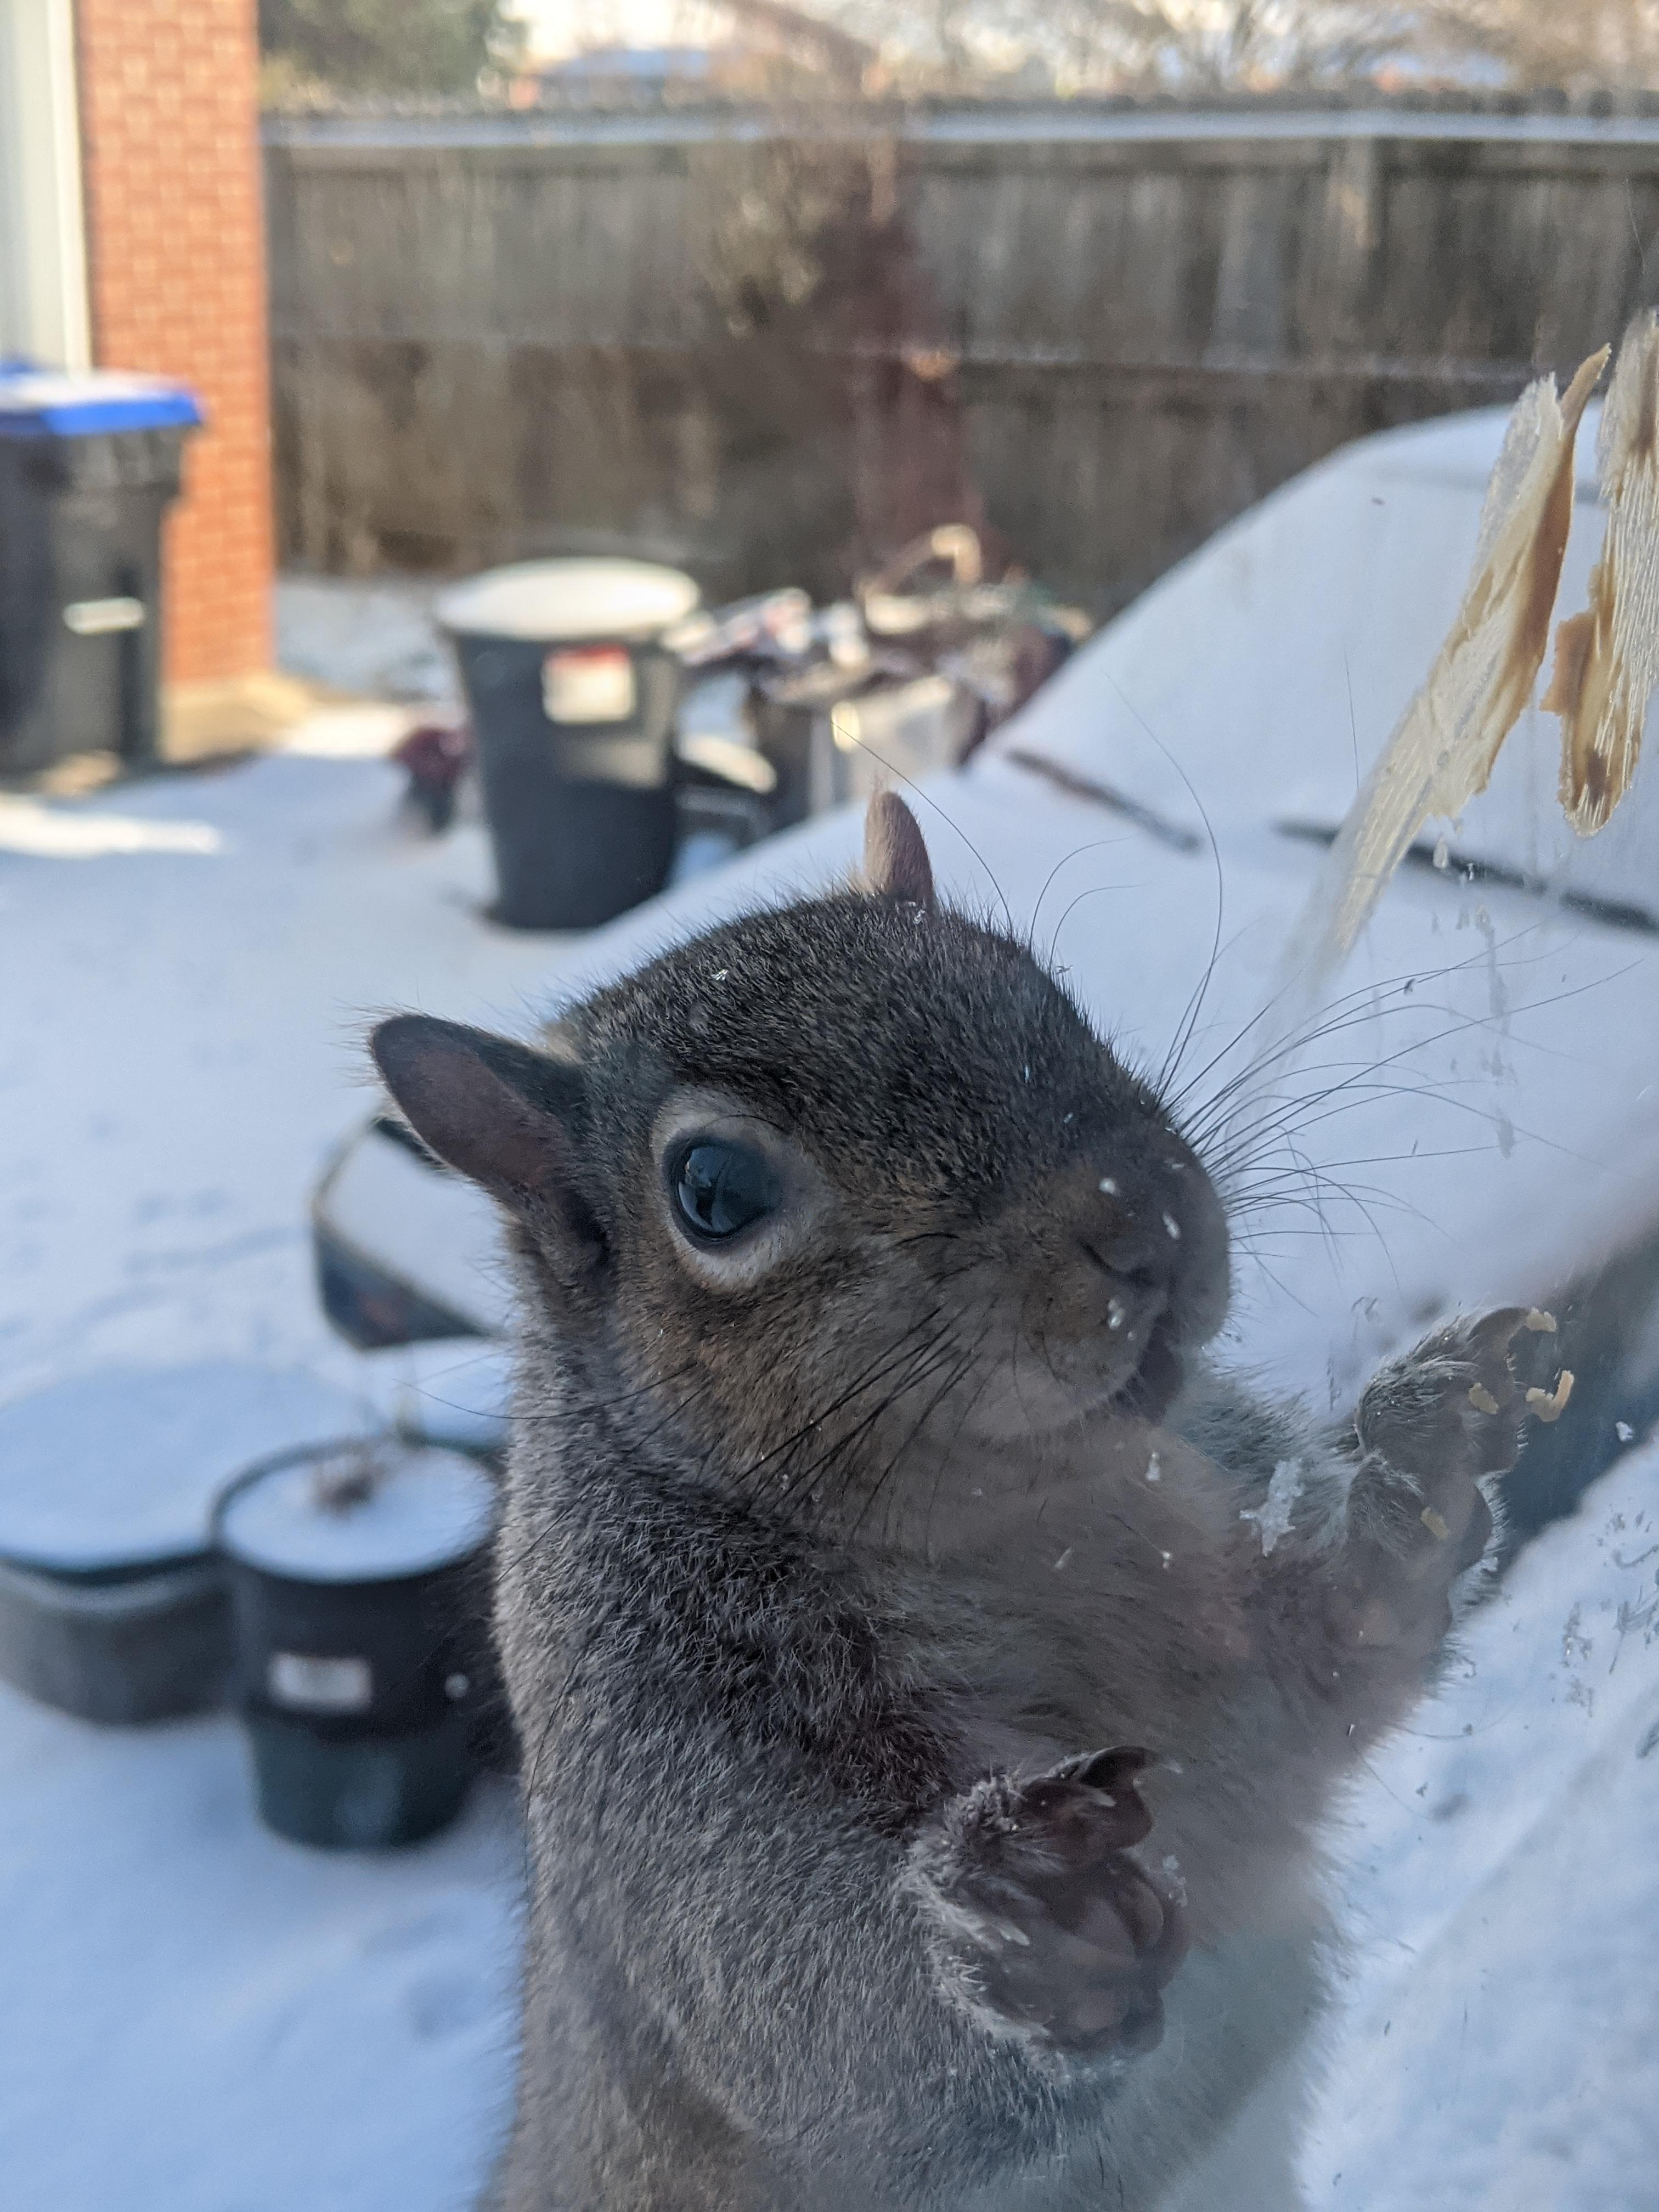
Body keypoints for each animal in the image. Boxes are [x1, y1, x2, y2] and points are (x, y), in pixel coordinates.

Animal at [372, 792, 1539, 2211]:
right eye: (712, 1192)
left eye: (1033, 981)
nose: (1146, 1217)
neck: (1027, 1518)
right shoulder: (643, 1758)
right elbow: (823, 2045)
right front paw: (1017, 1925)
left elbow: (1313, 1687)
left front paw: (1417, 1473)